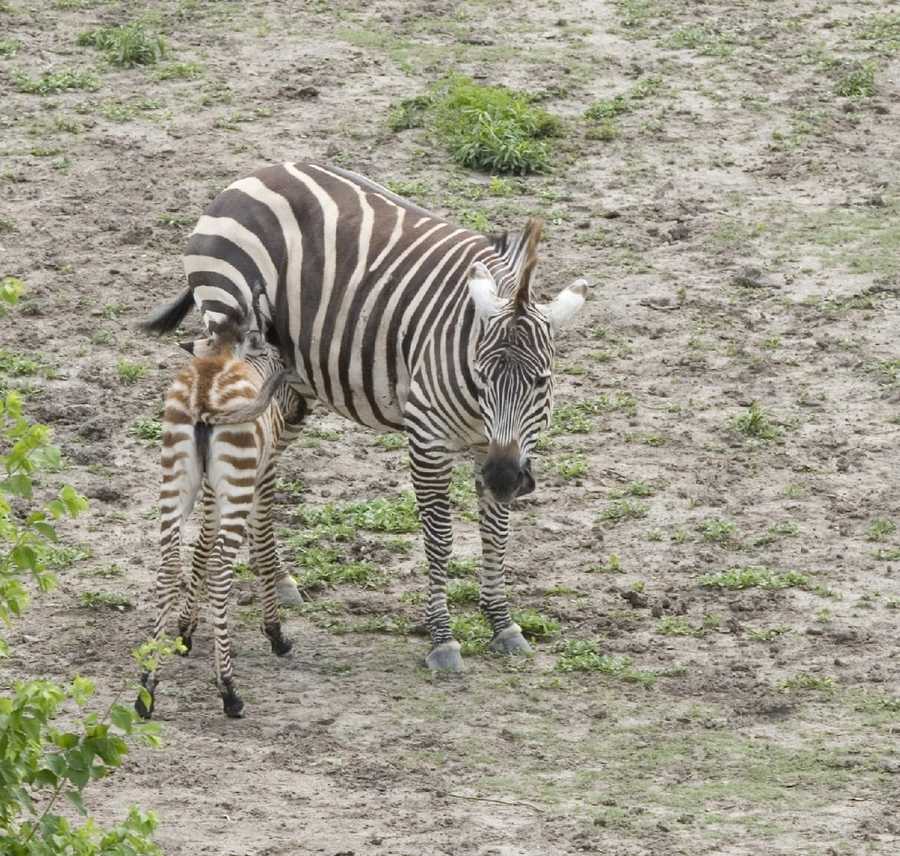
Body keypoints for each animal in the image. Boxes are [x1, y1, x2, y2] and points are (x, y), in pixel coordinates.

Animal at [136, 303, 307, 718]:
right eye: (282, 360)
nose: (301, 412)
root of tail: (203, 398)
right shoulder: (263, 475)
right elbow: (263, 547)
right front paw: (276, 633)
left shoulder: (214, 488)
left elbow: (200, 548)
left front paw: (184, 629)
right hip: (239, 476)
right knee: (221, 571)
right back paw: (229, 691)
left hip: (174, 477)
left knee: (169, 565)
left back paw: (147, 688)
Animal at [141, 161, 588, 673]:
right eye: (482, 374)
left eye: (540, 383)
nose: (505, 477)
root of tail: (250, 177)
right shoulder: (428, 439)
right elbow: (439, 538)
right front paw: (443, 640)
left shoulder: (490, 447)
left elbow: (496, 532)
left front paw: (502, 623)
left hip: (290, 383)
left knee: (263, 465)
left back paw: (278, 580)